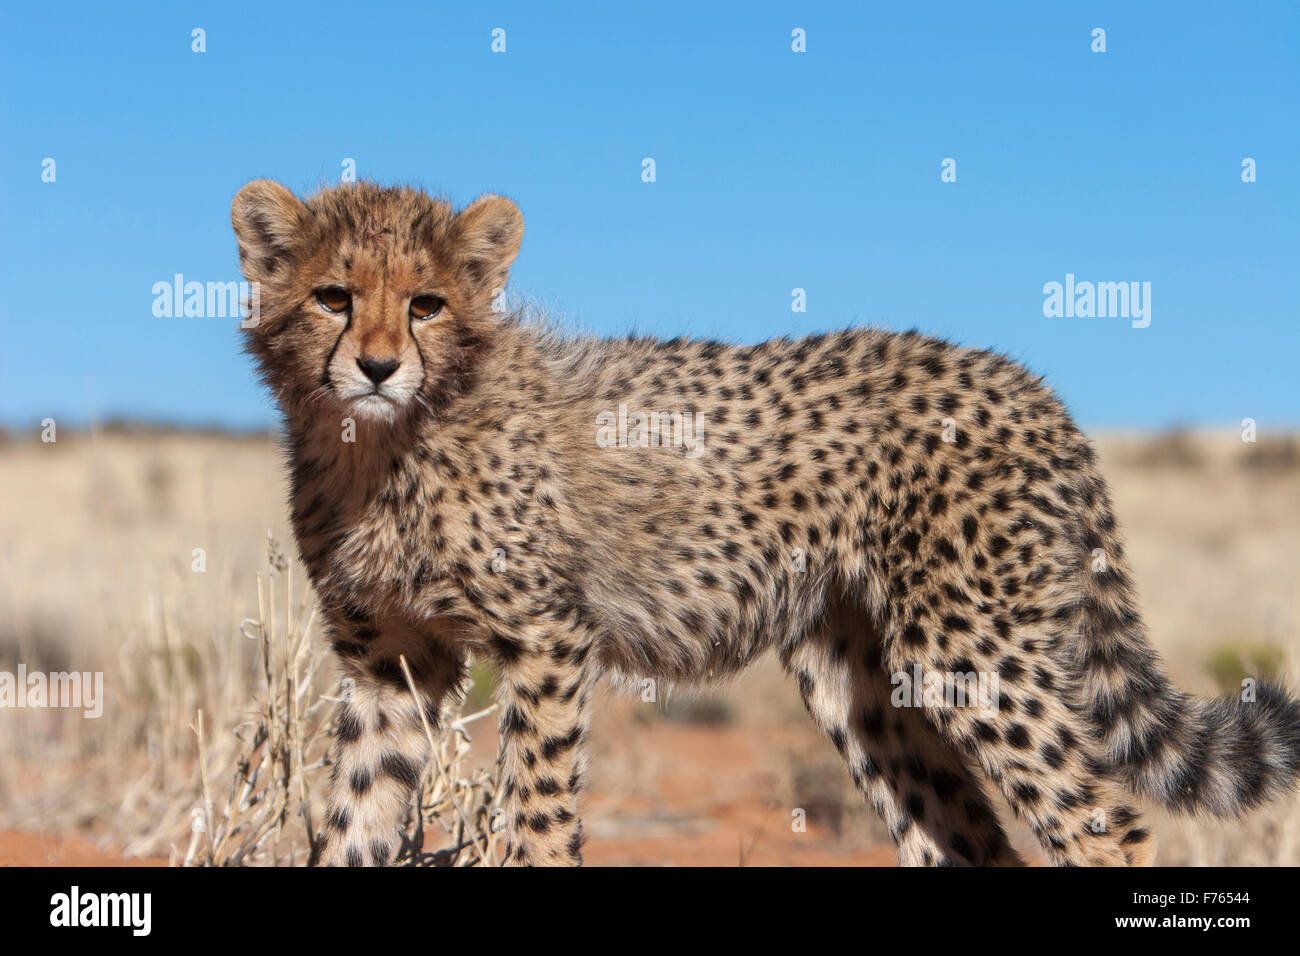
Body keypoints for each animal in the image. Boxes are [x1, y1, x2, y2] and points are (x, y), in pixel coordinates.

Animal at [231, 178, 1300, 866]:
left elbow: (536, 810)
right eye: (332, 296)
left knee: (1102, 829)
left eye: (426, 304)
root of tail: (1025, 381)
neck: (380, 445)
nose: (376, 366)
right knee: (969, 839)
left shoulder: (547, 638)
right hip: (858, 680)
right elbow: (357, 814)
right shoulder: (393, 660)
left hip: (973, 649)